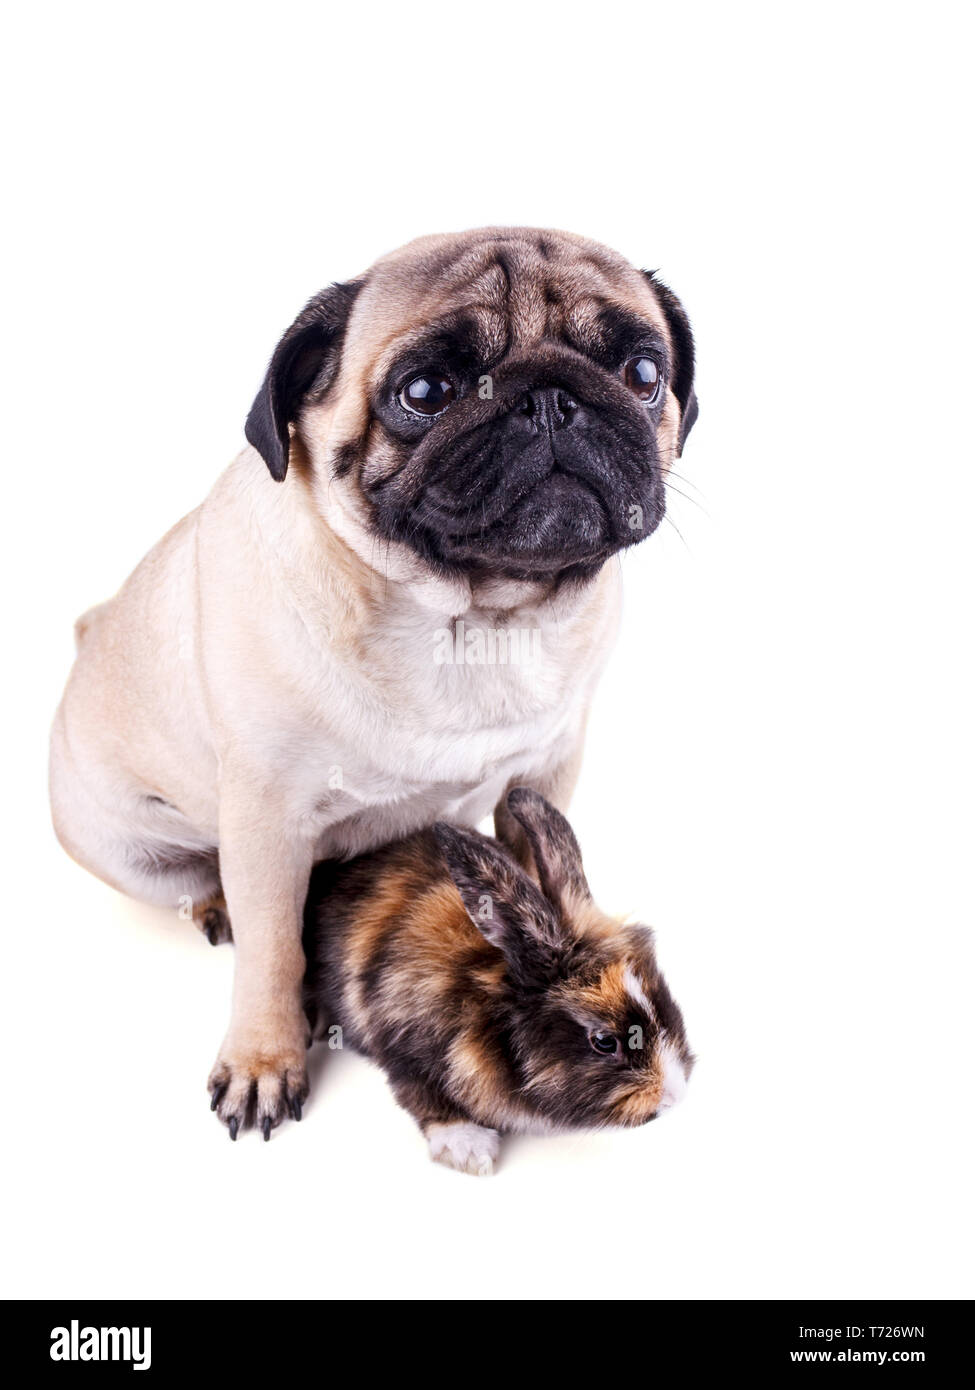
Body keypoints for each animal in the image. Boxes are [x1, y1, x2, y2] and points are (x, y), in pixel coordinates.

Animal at [302, 787, 694, 1174]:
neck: (489, 1000)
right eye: (604, 1041)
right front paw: (468, 1149)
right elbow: (421, 1094)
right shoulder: (402, 1047)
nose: (673, 1096)